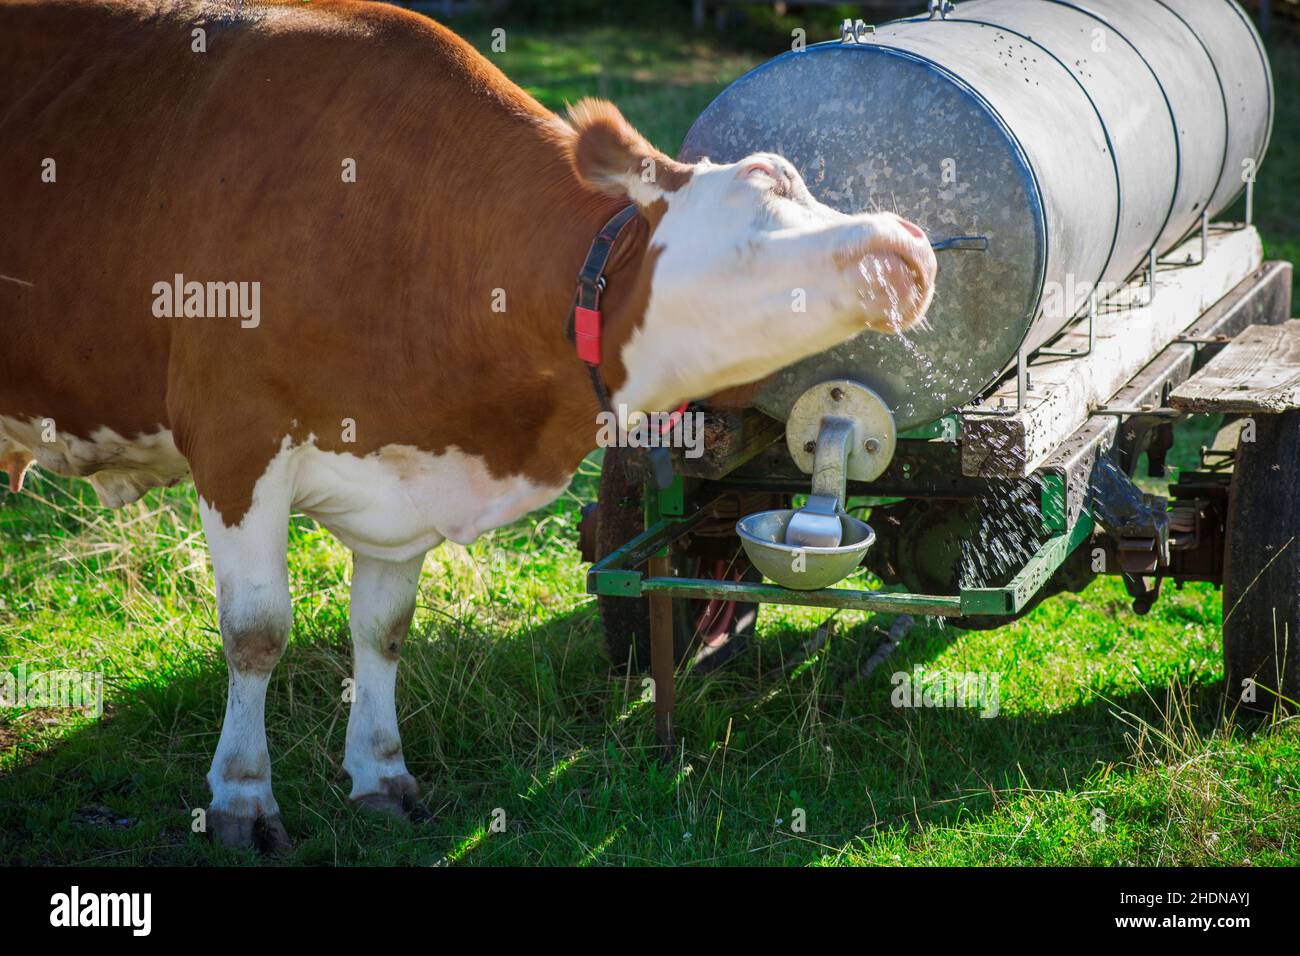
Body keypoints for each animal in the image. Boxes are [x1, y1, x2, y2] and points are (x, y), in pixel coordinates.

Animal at [0, 0, 936, 850]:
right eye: (758, 205)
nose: (911, 245)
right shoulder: (235, 439)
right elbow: (257, 632)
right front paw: (243, 798)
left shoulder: (408, 470)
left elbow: (383, 628)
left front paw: (381, 777)